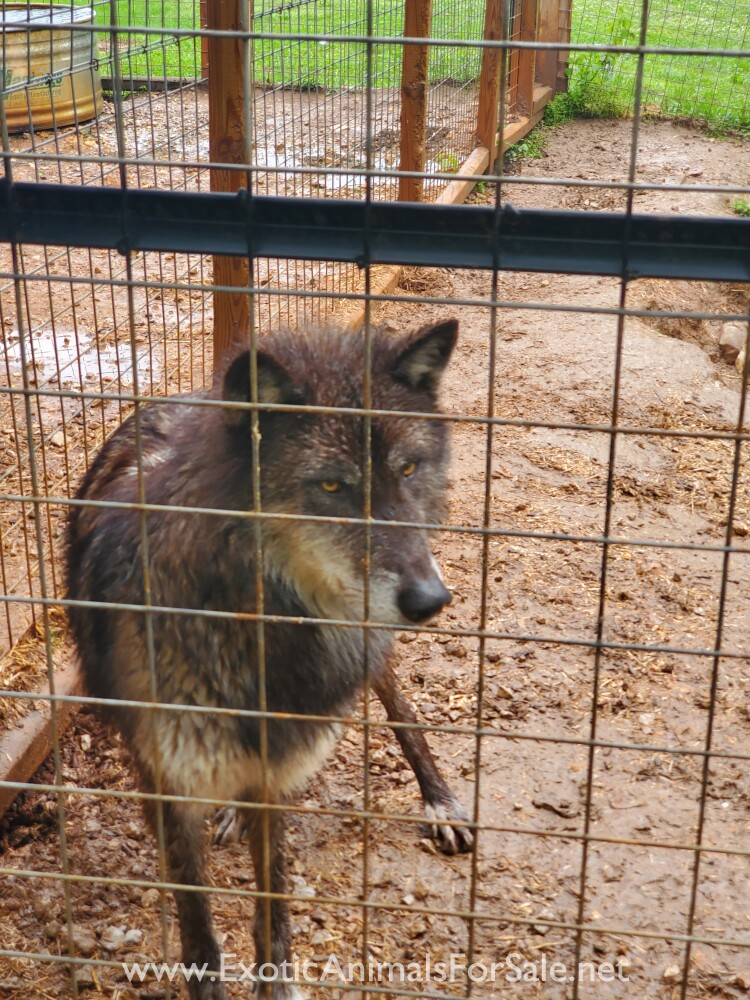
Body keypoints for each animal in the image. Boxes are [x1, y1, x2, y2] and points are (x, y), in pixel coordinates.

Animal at [66, 319, 470, 999]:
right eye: (332, 485)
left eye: (409, 469)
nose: (428, 599)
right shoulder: (167, 782)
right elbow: (199, 933)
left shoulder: (278, 773)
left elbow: (273, 910)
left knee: (403, 712)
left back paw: (440, 800)